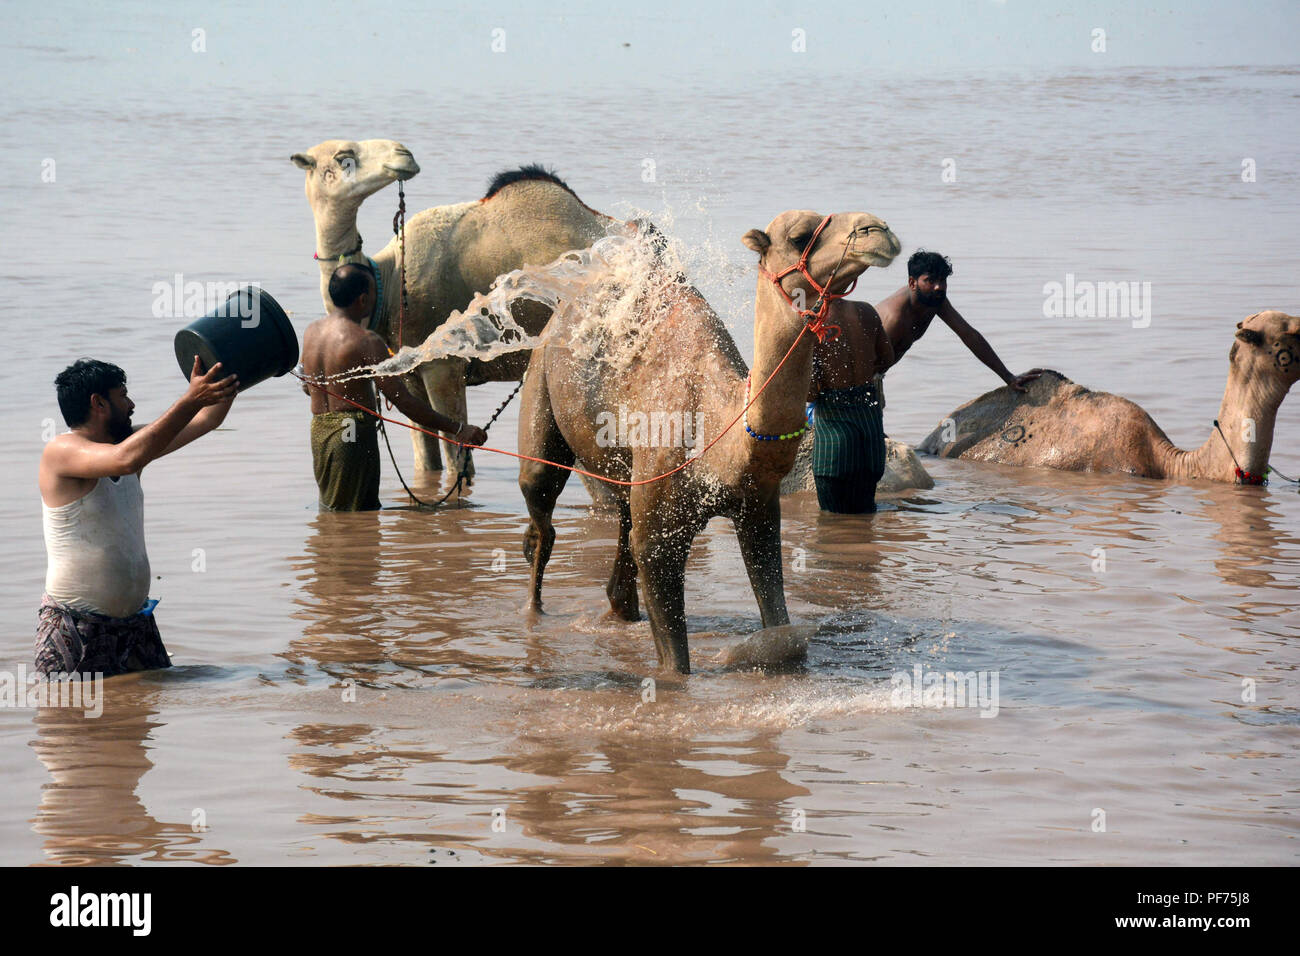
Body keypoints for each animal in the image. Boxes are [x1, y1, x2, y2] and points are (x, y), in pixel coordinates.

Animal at [291, 139, 622, 475]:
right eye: (344, 158)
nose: (403, 153)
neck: (390, 277)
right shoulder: (408, 371)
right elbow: (426, 453)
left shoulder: (443, 364)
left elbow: (455, 451)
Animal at [518, 210, 902, 673]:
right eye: (800, 236)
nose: (876, 230)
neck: (722, 437)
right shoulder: (661, 541)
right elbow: (675, 665)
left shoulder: (758, 511)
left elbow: (780, 624)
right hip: (539, 381)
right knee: (542, 506)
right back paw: (534, 613)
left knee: (621, 527)